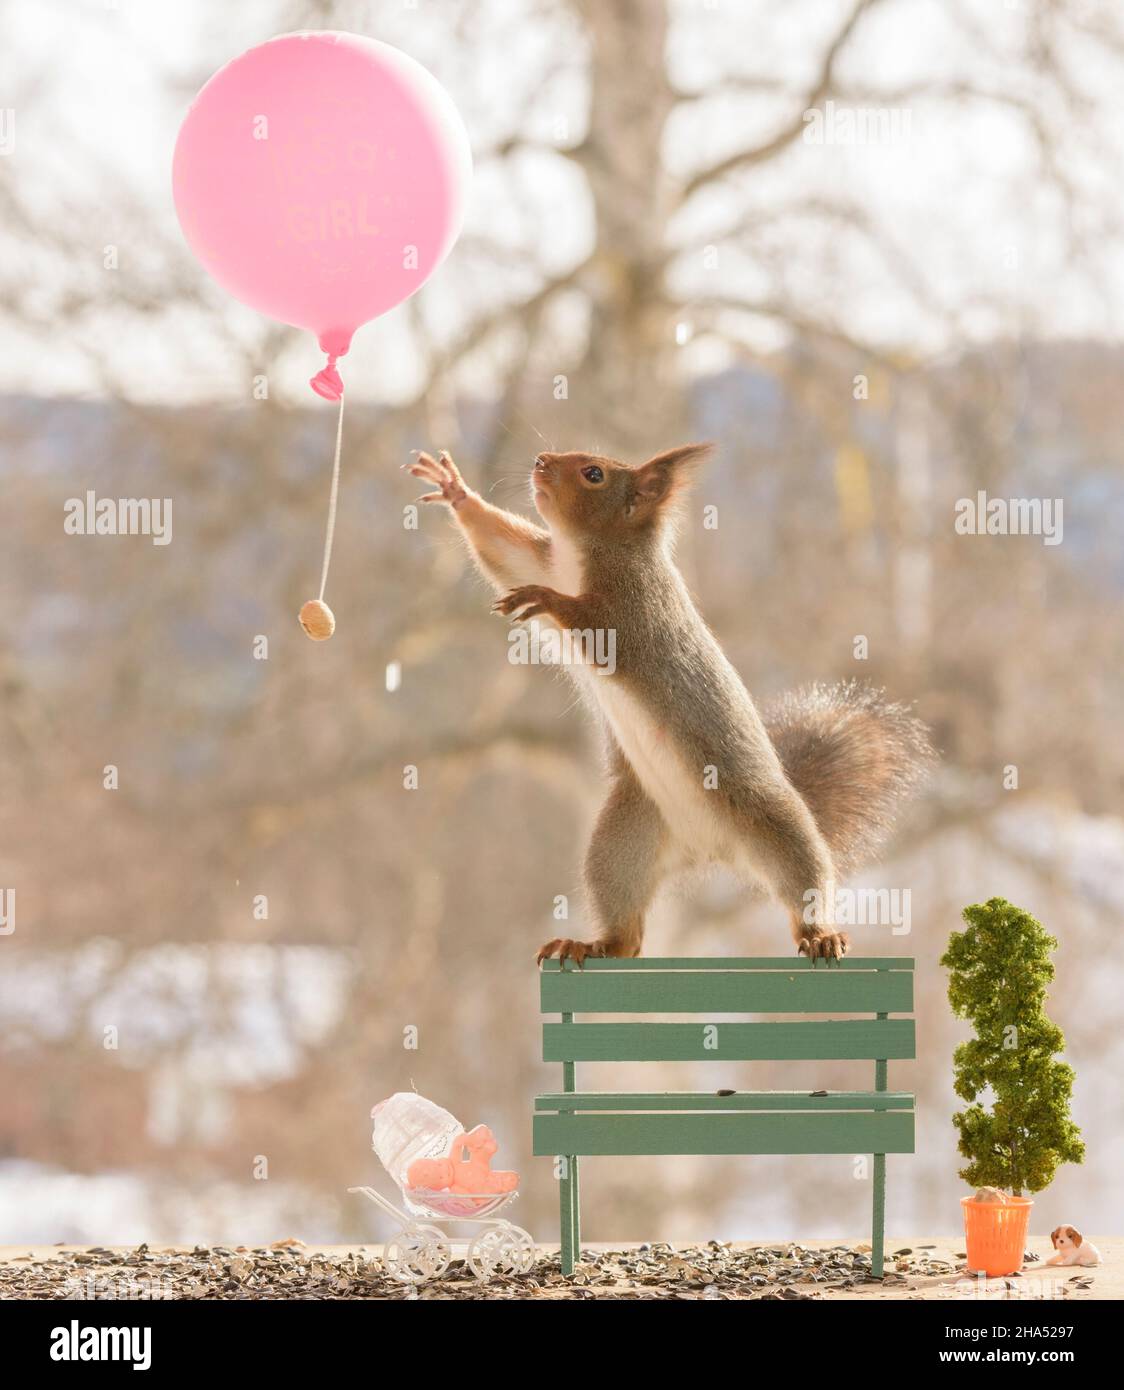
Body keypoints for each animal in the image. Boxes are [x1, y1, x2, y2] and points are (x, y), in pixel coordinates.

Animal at [406, 443, 933, 965]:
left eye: (593, 474)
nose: (540, 461)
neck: (589, 553)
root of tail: (708, 850)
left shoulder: (636, 613)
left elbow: (600, 630)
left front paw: (548, 599)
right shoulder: (541, 559)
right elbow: (503, 549)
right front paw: (456, 489)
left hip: (773, 822)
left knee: (801, 878)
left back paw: (820, 933)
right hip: (623, 838)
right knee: (629, 936)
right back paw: (592, 943)